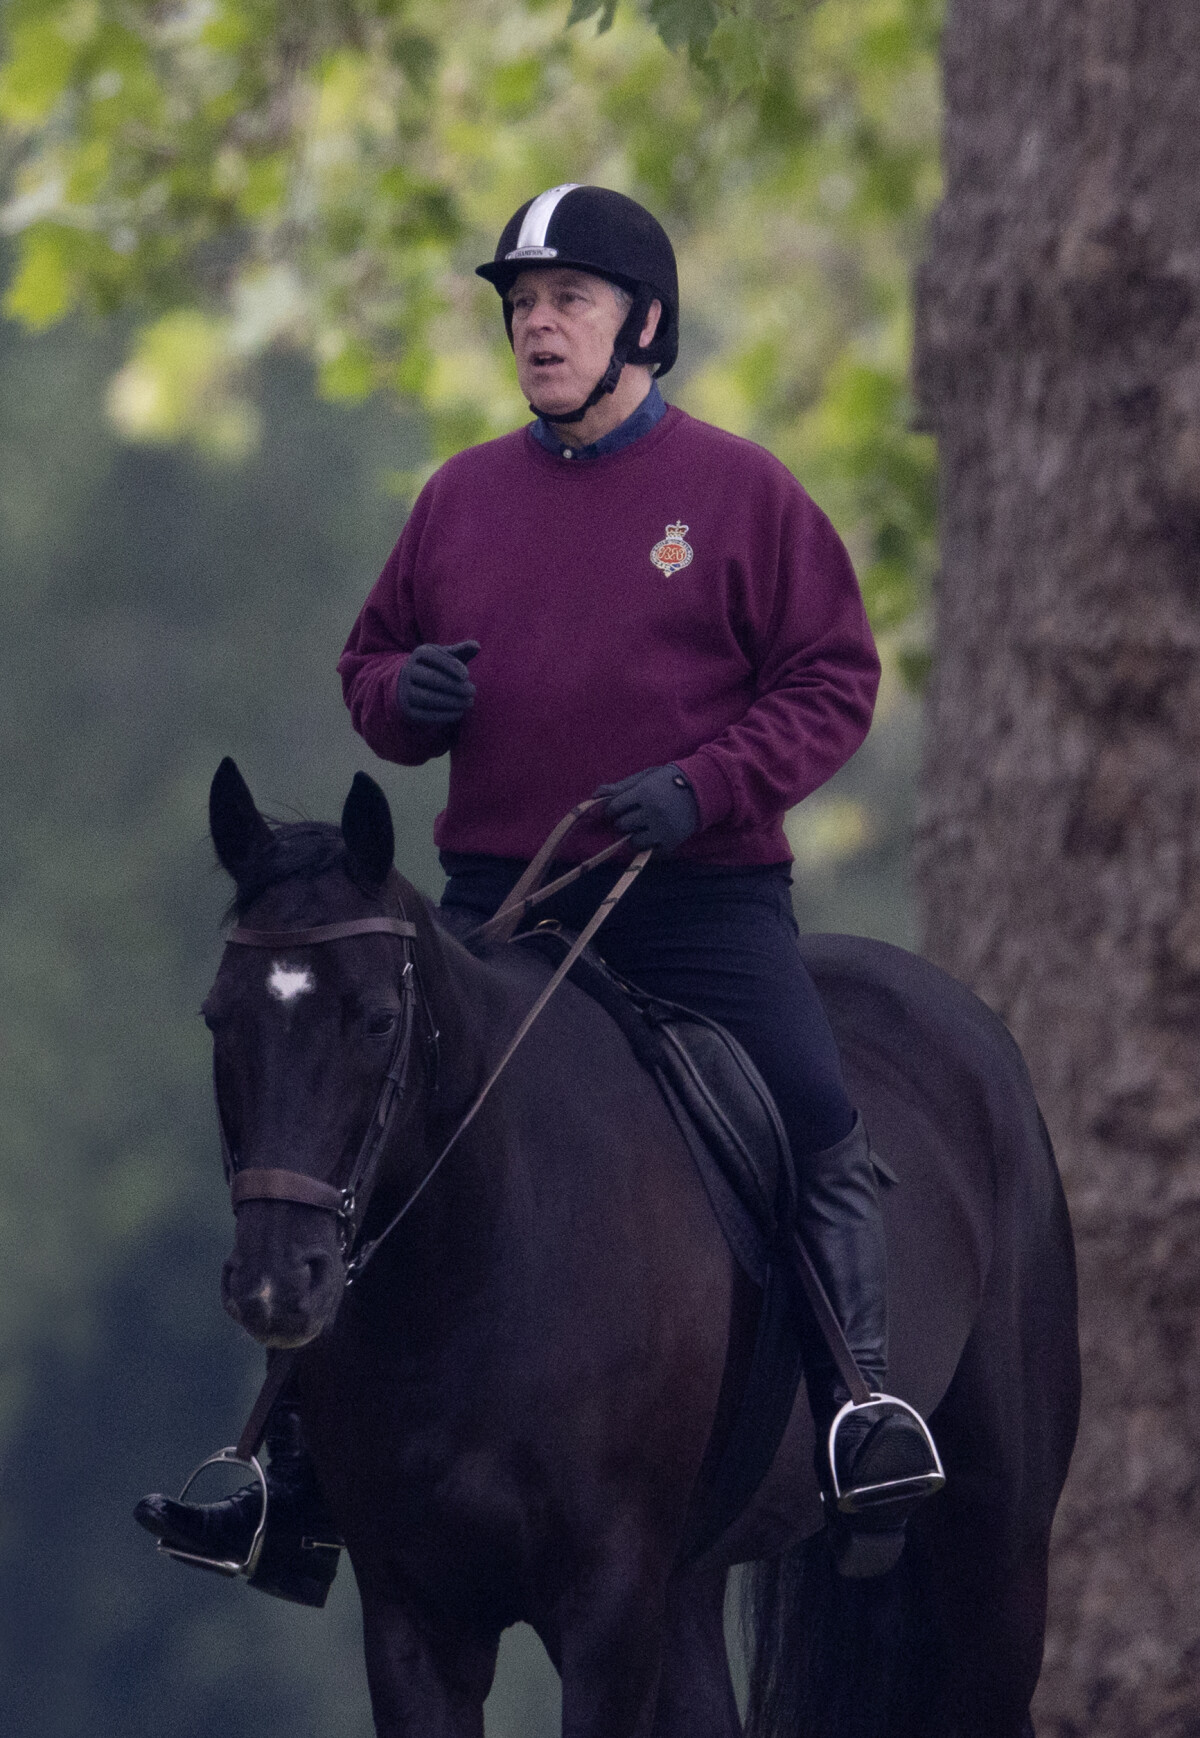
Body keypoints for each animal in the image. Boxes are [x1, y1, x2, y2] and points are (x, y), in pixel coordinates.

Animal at [202, 758, 1079, 1738]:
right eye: (217, 1018)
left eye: (379, 1020)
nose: (278, 1284)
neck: (473, 1273)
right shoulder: (414, 1617)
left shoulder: (607, 1605)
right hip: (691, 1587)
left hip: (996, 1552)